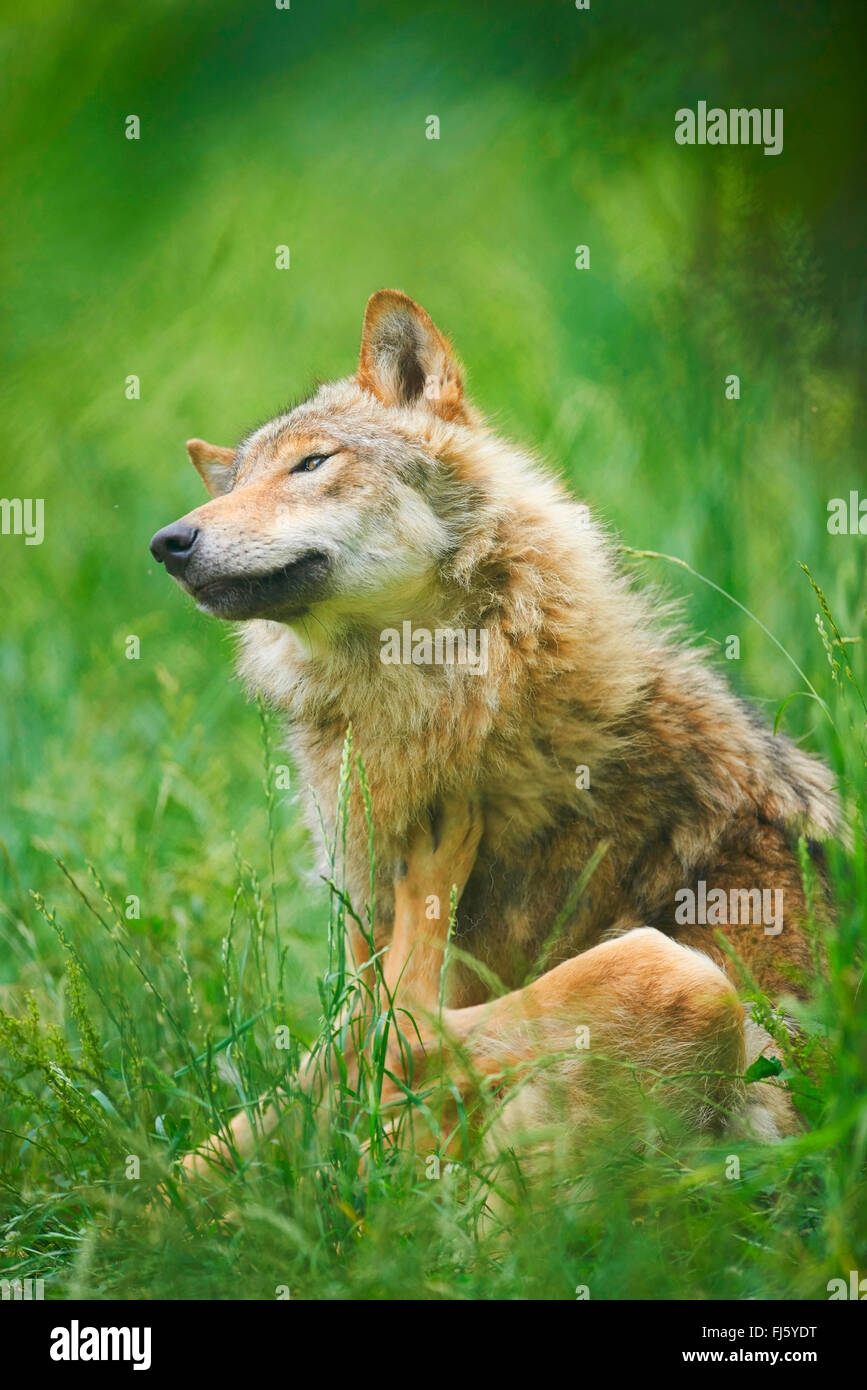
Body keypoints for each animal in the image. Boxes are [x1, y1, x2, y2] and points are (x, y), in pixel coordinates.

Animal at [150, 289, 838, 1156]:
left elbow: (358, 1053)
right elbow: (263, 1116)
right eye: (233, 482)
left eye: (312, 464)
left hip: (680, 978)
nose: (169, 541)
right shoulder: (356, 943)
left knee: (401, 1047)